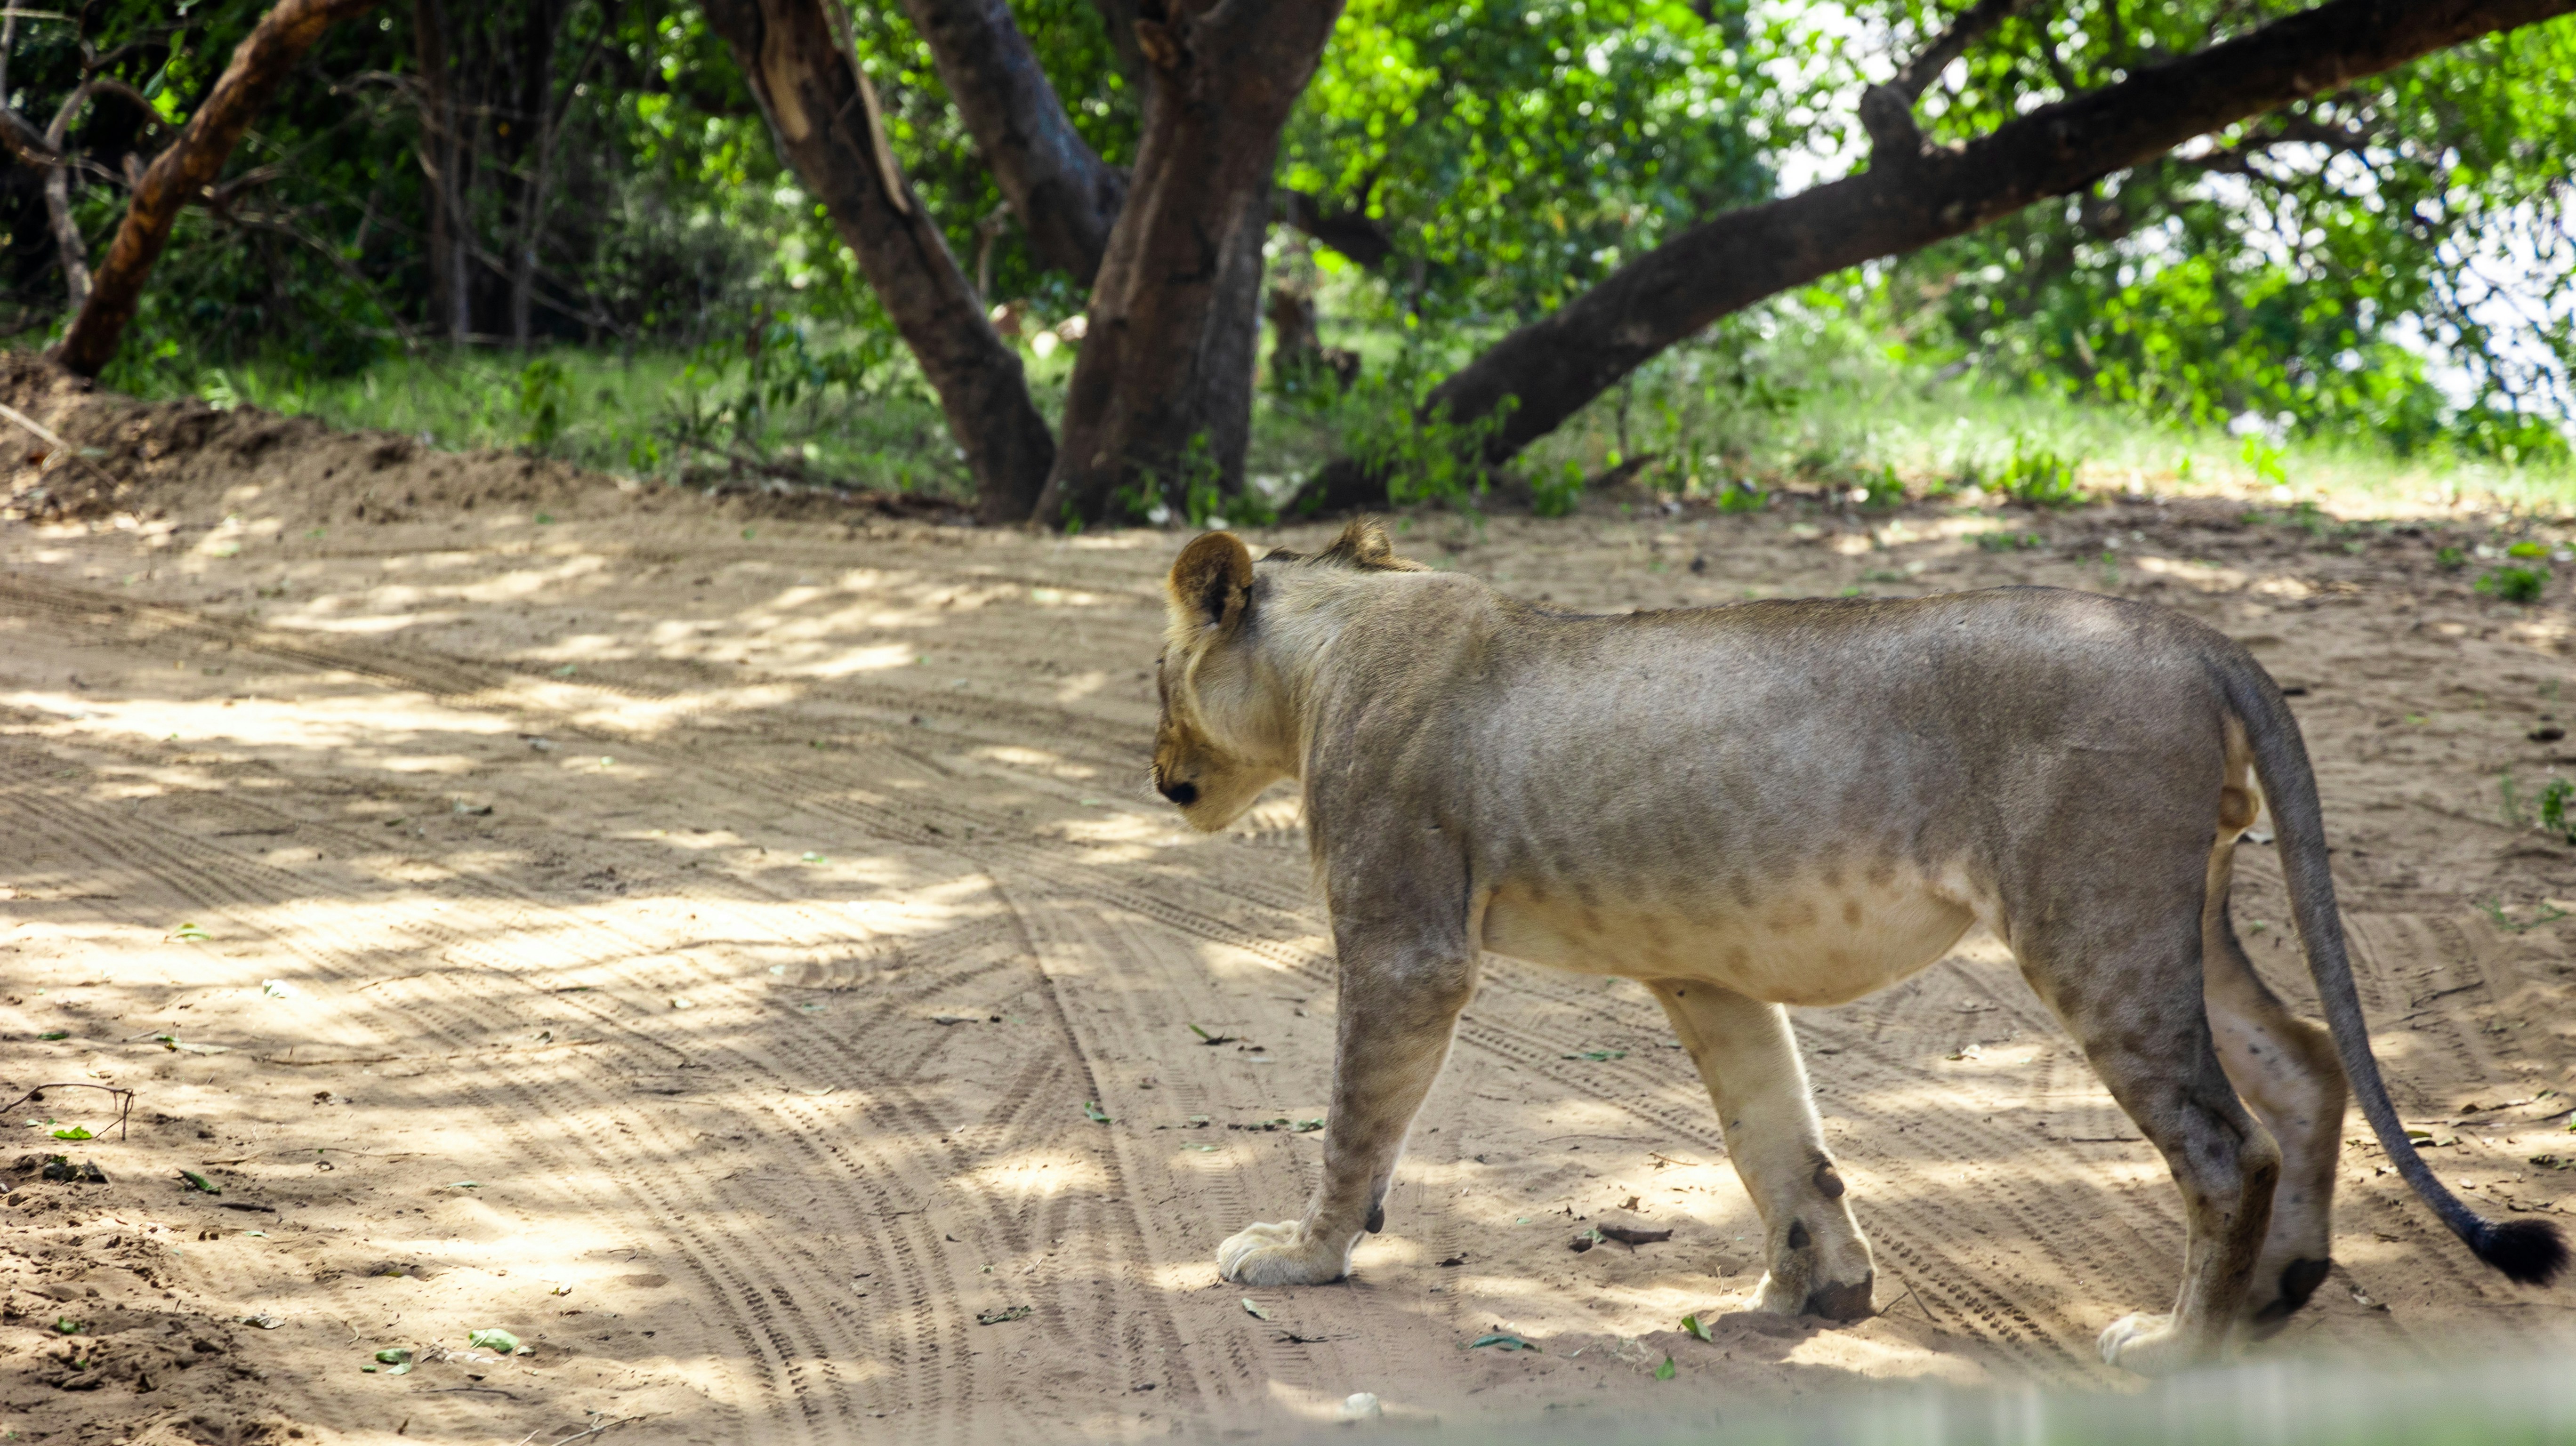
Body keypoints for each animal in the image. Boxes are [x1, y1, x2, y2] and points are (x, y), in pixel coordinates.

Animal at [1147, 518, 2562, 1374]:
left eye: (1156, 678)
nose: (1154, 771)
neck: (1334, 642)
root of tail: (2194, 633)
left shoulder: (1407, 942)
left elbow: (1352, 1118)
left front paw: (1301, 1254)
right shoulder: (1702, 971)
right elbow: (1774, 1139)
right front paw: (1814, 1295)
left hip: (2089, 919)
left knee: (2227, 1141)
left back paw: (2180, 1343)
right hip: (2180, 913)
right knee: (2309, 1060)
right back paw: (2283, 1291)